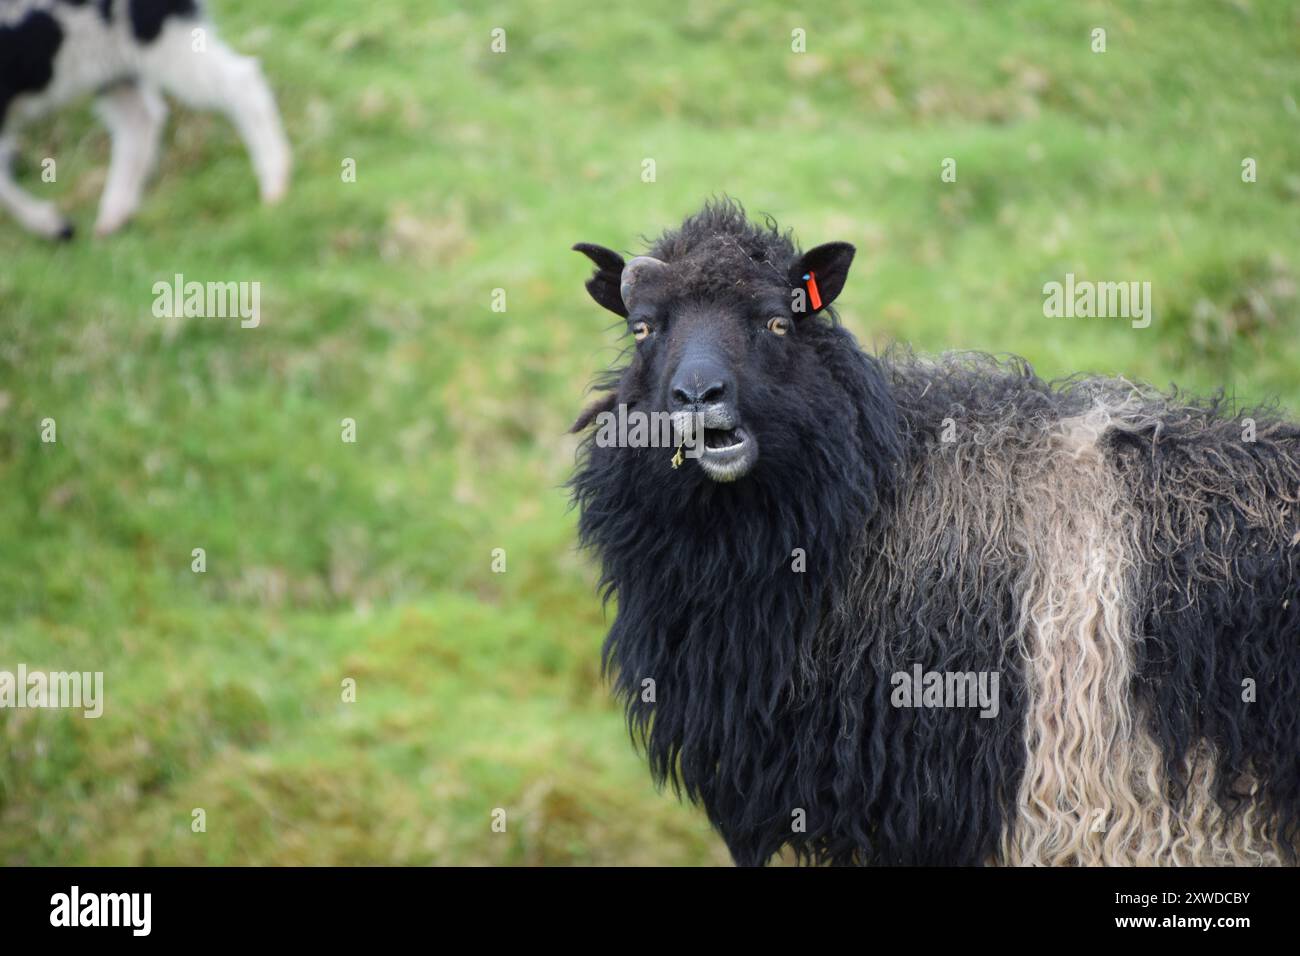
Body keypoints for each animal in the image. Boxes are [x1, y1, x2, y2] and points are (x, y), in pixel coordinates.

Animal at [0, 0, 289, 239]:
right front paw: (53, 224)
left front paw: (53, 224)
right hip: (112, 63)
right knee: (140, 118)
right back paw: (112, 219)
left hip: (158, 35)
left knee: (241, 80)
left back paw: (274, 186)